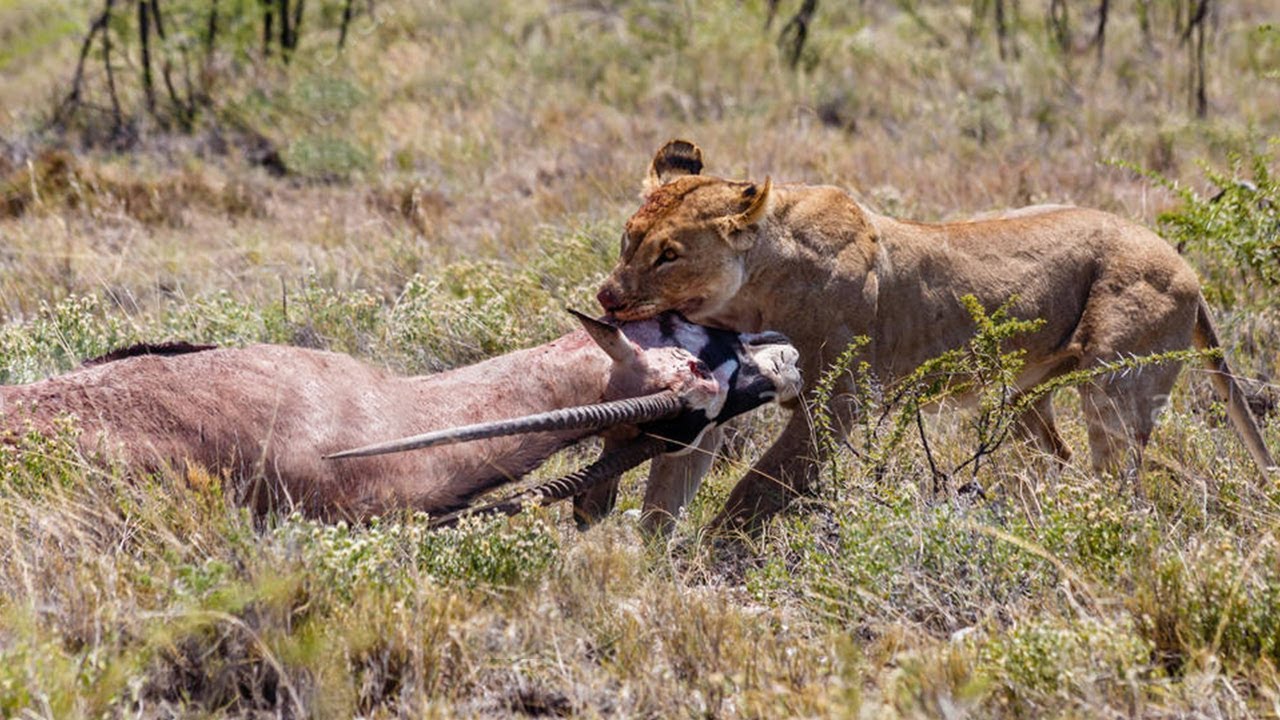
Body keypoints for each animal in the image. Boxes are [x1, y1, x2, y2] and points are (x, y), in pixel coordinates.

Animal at [581, 139, 1276, 533]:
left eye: (669, 255)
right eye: (627, 239)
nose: (607, 297)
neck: (750, 292)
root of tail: (1189, 268)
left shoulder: (837, 403)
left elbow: (759, 486)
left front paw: (712, 558)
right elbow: (668, 491)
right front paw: (655, 572)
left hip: (1116, 389)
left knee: (1121, 486)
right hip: (1024, 399)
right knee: (1066, 463)